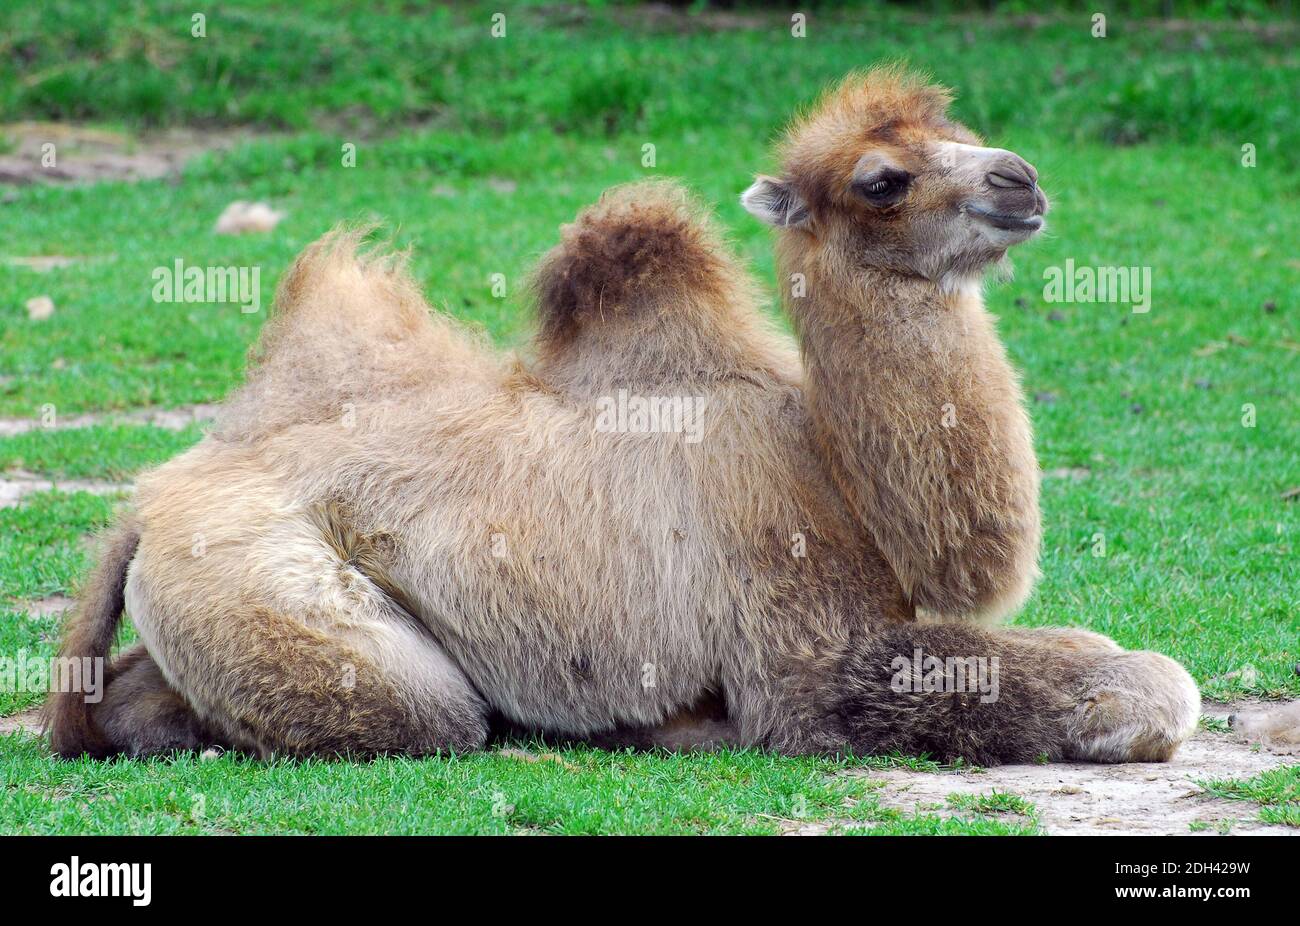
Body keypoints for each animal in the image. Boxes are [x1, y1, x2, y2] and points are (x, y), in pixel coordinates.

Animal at [46, 67, 1199, 765]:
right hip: (272, 587)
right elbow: (1137, 680)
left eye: (965, 135)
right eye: (882, 178)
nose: (1021, 179)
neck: (830, 469)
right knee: (422, 709)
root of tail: (145, 503)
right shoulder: (801, 655)